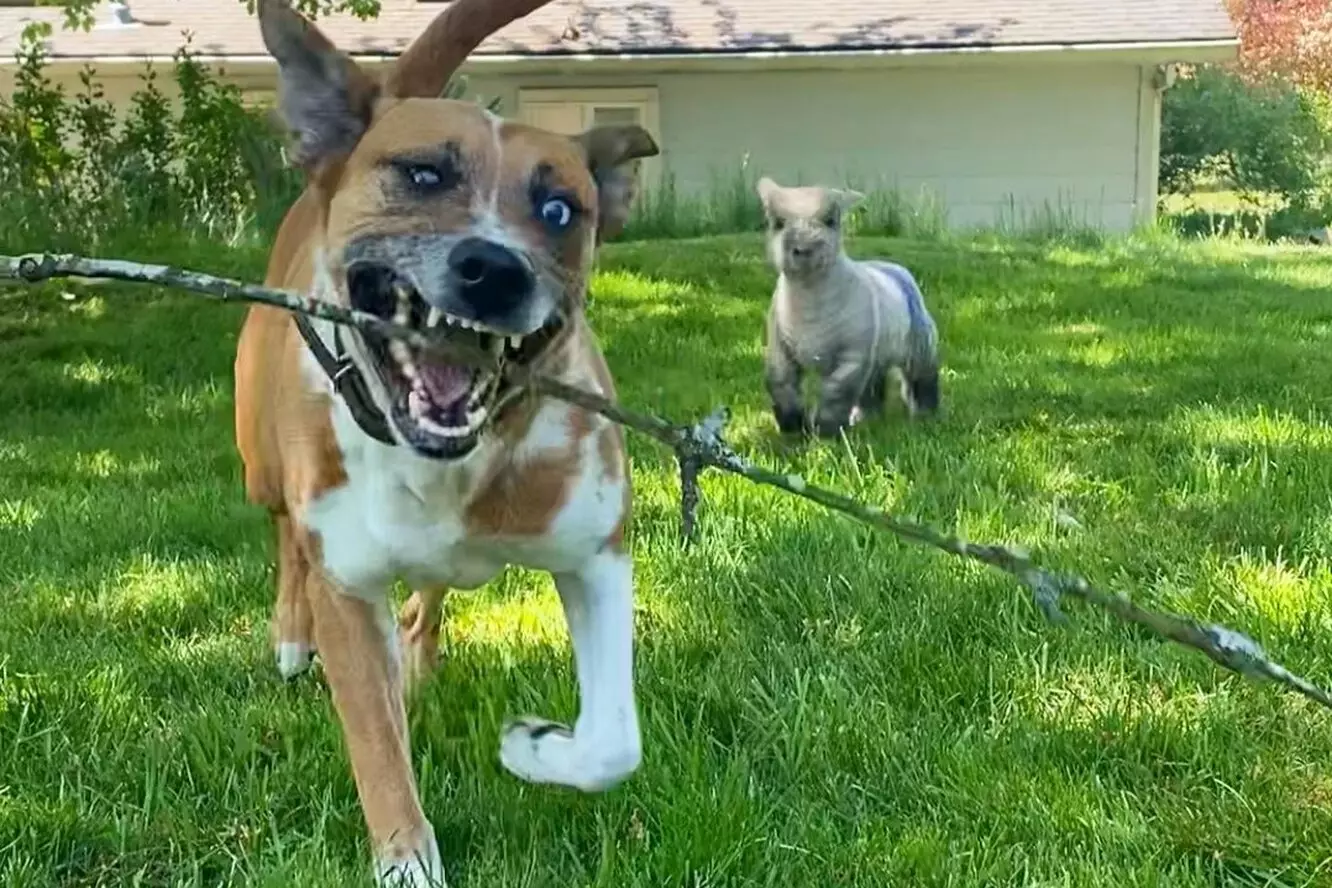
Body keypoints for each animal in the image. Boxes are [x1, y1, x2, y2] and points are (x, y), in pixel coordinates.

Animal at [234, 3, 660, 884]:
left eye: (560, 209)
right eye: (423, 175)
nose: (492, 268)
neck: (448, 466)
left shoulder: (596, 549)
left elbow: (612, 744)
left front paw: (536, 748)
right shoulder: (347, 588)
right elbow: (376, 747)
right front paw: (406, 855)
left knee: (430, 595)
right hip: (261, 459)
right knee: (284, 534)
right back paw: (293, 635)